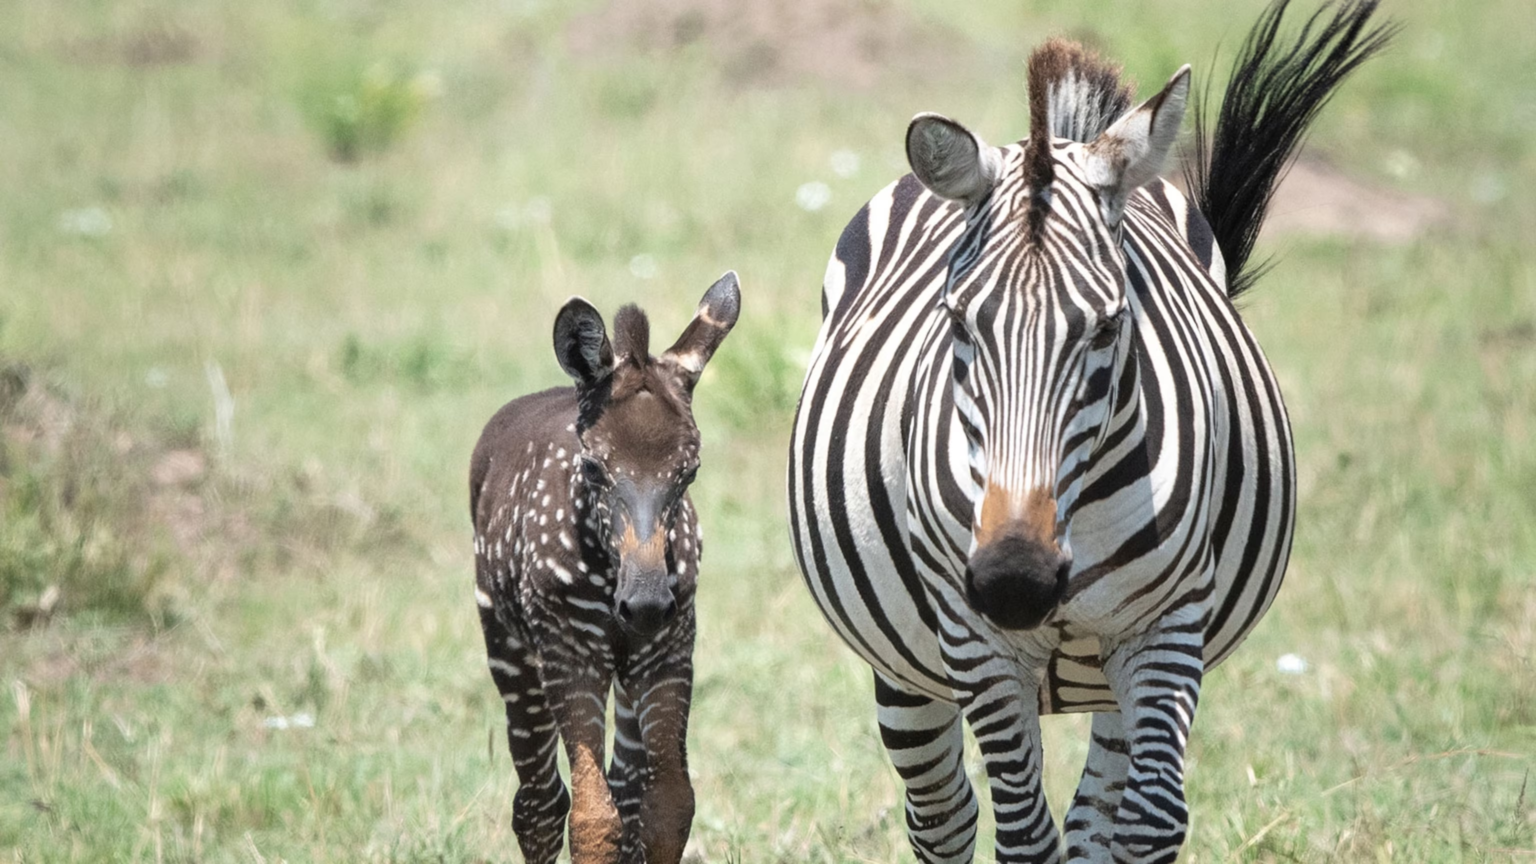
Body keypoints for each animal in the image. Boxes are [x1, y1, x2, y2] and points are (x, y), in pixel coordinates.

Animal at [471, 272, 740, 864]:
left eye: (690, 471)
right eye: (593, 467)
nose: (644, 604)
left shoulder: (667, 652)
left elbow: (668, 806)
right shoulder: (569, 654)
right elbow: (593, 817)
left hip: (627, 669)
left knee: (625, 789)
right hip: (510, 654)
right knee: (540, 803)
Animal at [787, 2, 1391, 861]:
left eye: (1106, 326)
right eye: (957, 323)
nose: (1014, 581)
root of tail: (1055, 137)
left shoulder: (1167, 625)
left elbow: (1147, 818)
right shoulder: (978, 644)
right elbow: (1023, 834)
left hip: (1108, 673)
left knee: (1092, 814)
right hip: (907, 666)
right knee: (944, 813)